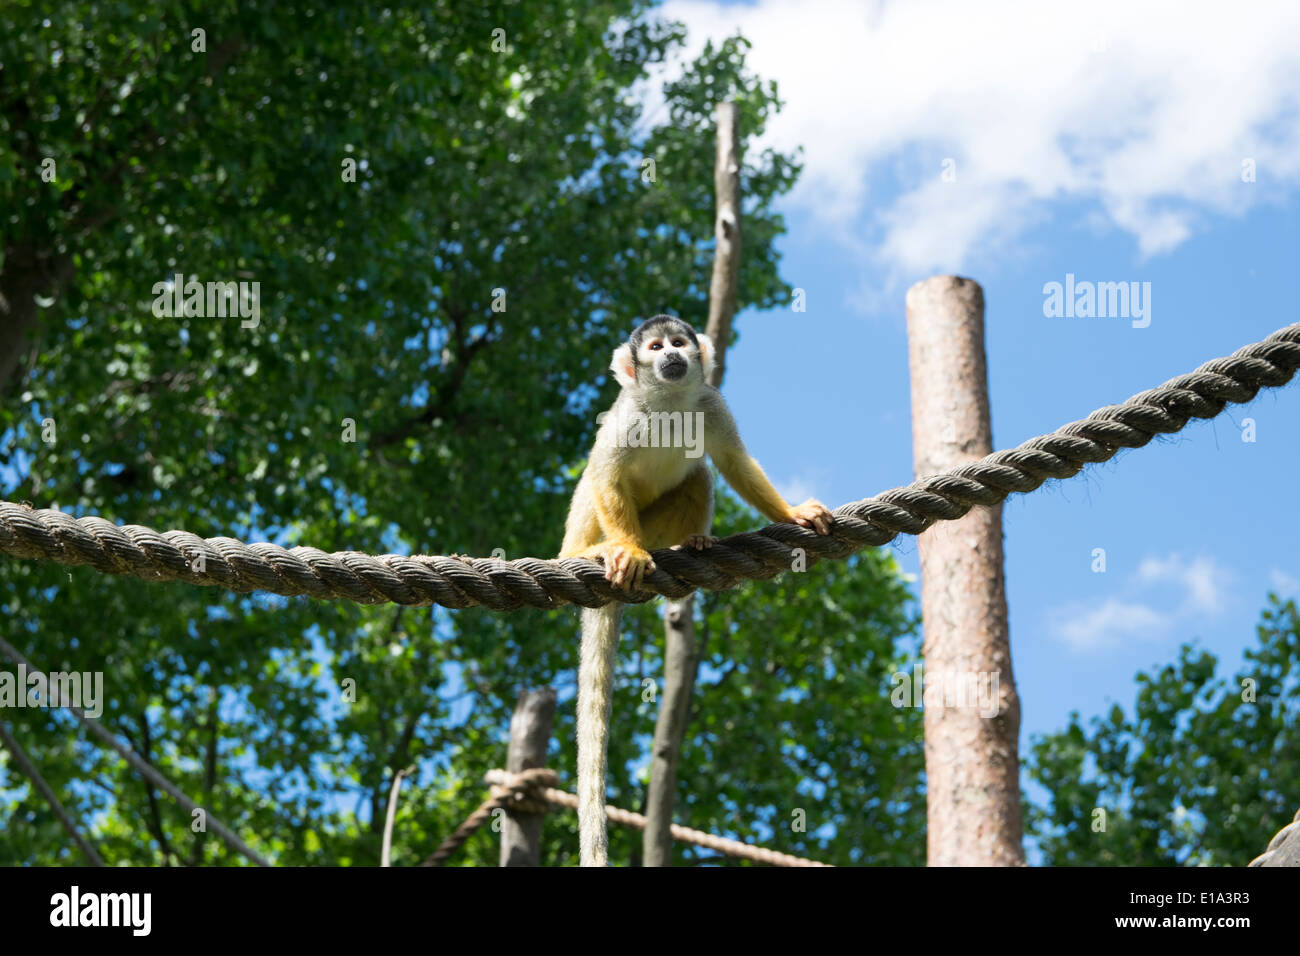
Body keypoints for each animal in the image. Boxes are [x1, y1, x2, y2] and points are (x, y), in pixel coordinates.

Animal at [559, 314, 833, 866]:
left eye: (679, 343)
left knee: (700, 473)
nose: (672, 356)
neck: (667, 402)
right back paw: (594, 551)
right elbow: (606, 473)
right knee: (596, 480)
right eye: (654, 347)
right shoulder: (624, 413)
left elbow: (732, 461)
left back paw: (692, 543)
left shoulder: (712, 403)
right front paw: (623, 551)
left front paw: (793, 512)